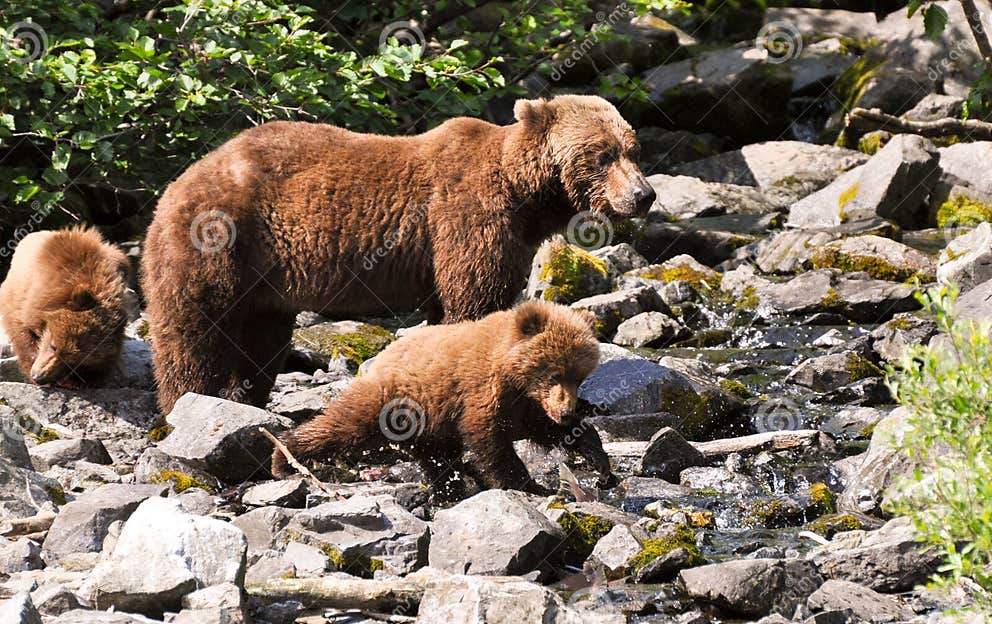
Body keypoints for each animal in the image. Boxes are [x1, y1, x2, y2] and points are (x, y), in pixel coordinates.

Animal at [141, 94, 655, 413]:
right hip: (218, 239)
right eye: (602, 154)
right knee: (192, 328)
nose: (644, 195)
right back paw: (186, 400)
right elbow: (476, 299)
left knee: (261, 336)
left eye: (633, 149)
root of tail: (178, 181)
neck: (525, 195)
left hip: (264, 276)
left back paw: (242, 398)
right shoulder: (468, 217)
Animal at [271, 301, 616, 498]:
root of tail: (380, 356)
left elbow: (545, 429)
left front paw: (600, 463)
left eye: (580, 376)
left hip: (430, 421)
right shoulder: (482, 389)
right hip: (393, 402)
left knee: (437, 455)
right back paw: (284, 456)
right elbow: (490, 439)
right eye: (554, 373)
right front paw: (532, 485)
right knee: (341, 425)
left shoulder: (526, 404)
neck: (513, 375)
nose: (567, 410)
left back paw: (451, 485)